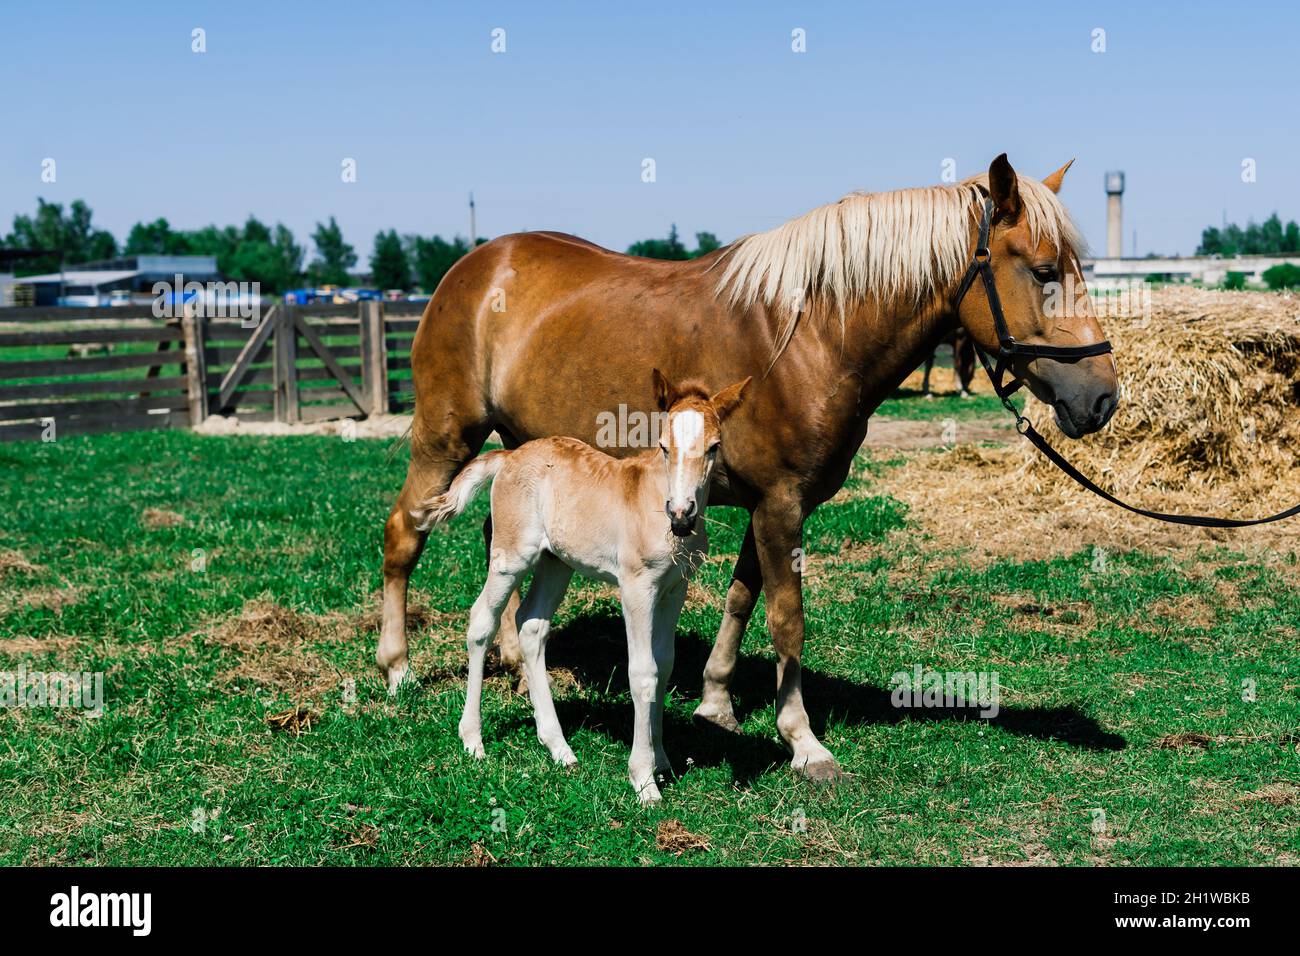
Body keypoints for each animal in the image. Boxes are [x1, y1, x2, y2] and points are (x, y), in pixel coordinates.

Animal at [413, 370, 749, 802]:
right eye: (663, 446)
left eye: (713, 447)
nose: (680, 514)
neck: (655, 503)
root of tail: (508, 457)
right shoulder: (636, 587)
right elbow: (643, 672)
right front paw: (644, 780)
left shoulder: (675, 588)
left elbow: (665, 664)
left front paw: (662, 760)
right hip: (510, 556)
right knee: (481, 620)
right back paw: (473, 739)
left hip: (556, 563)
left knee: (531, 625)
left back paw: (559, 748)